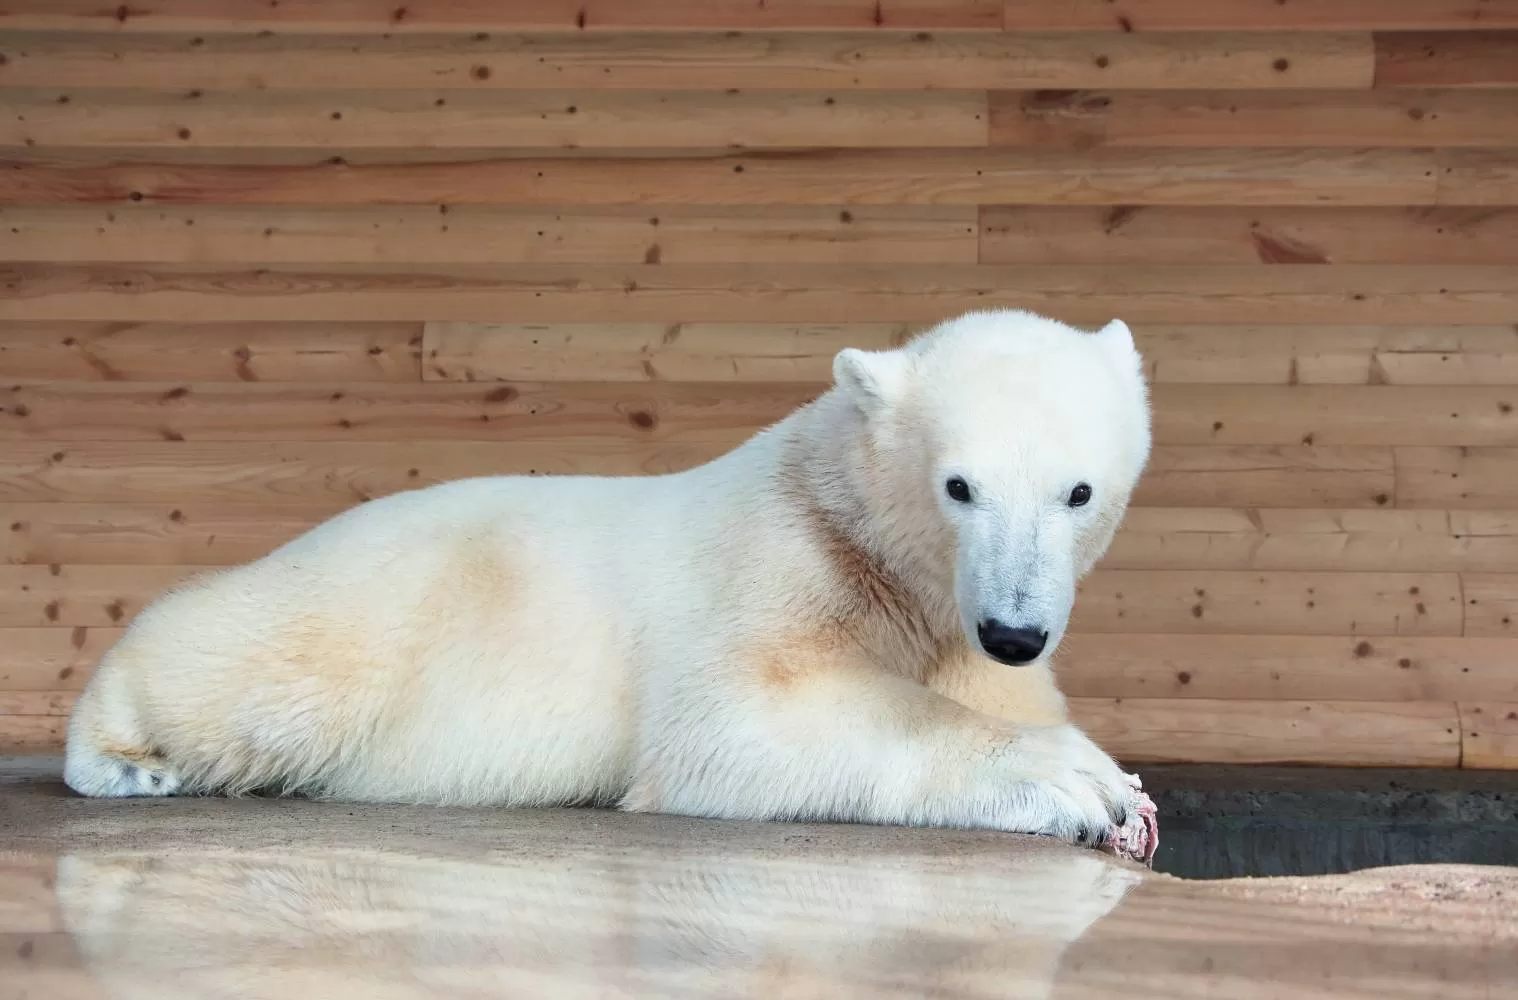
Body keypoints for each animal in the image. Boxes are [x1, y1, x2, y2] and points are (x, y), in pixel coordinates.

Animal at [59, 309, 1147, 849]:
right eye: (959, 485)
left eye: (1078, 491)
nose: (1014, 628)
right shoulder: (772, 563)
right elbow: (733, 723)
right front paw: (1077, 784)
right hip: (371, 609)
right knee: (255, 663)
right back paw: (123, 759)